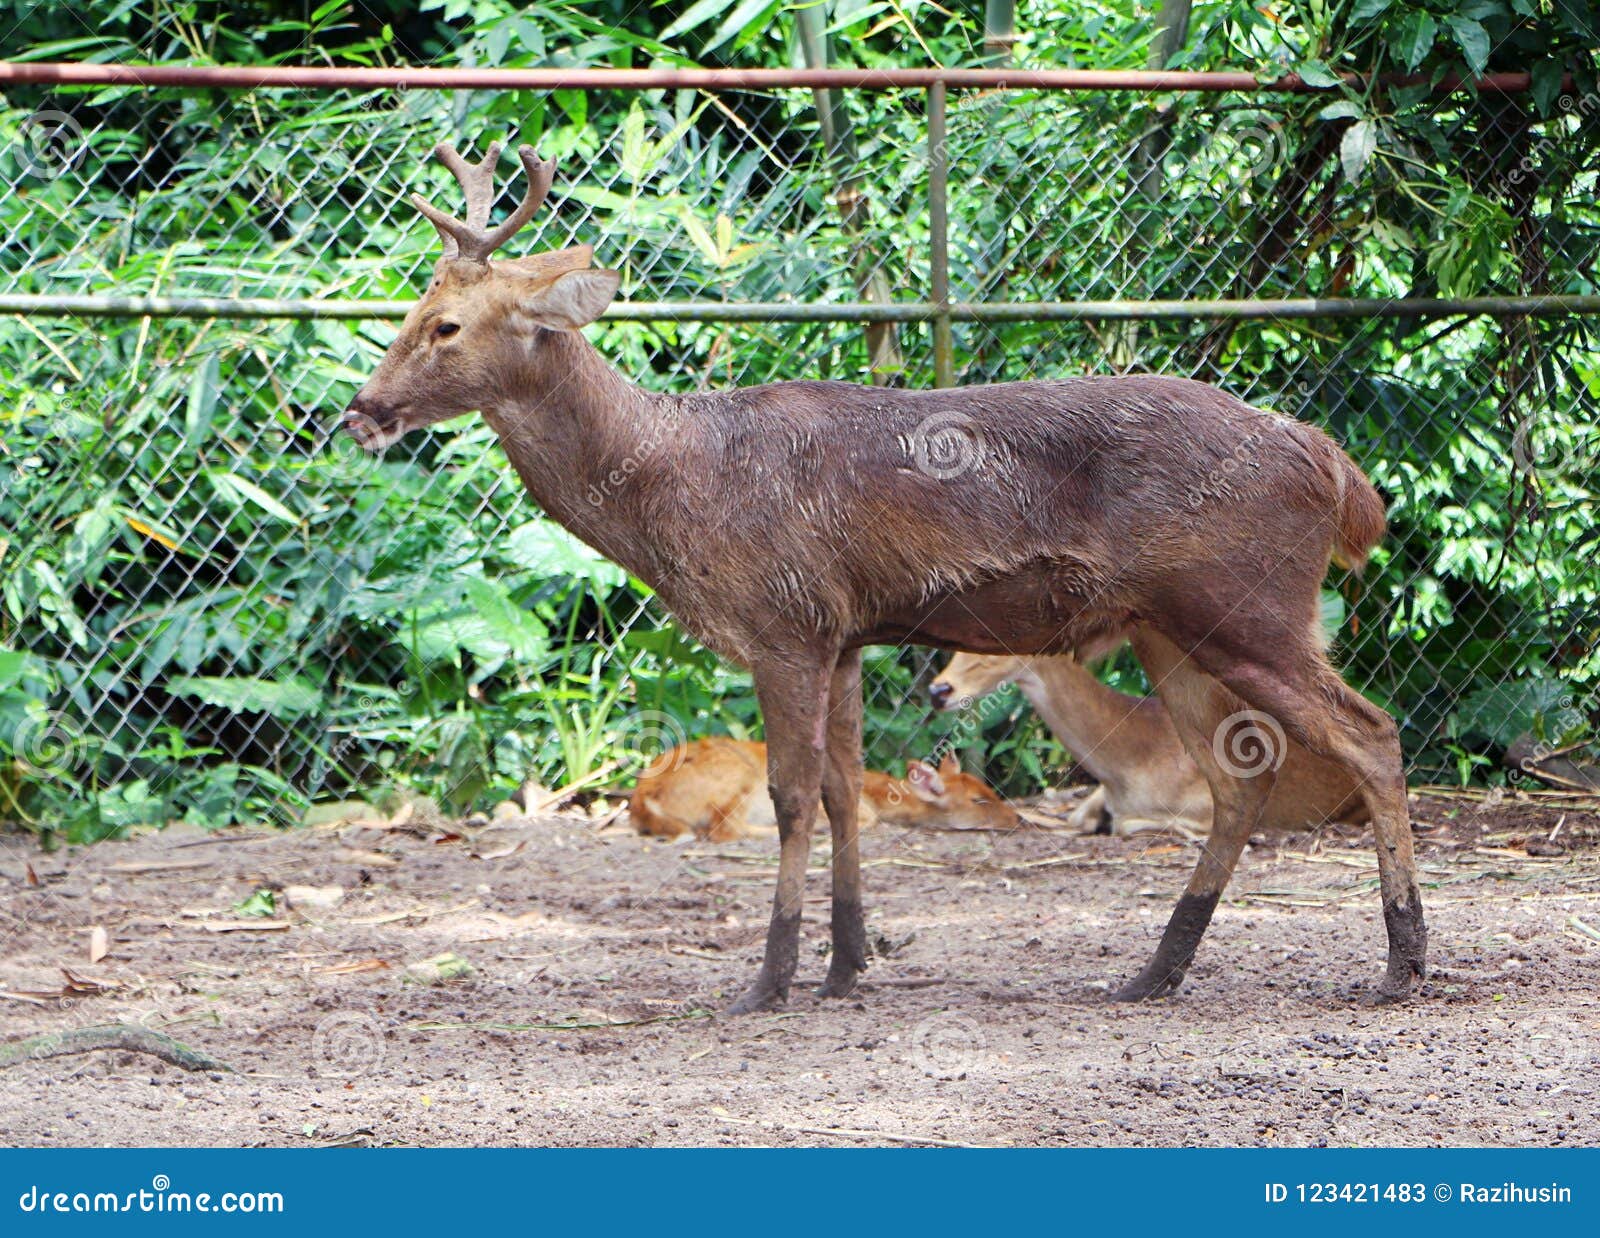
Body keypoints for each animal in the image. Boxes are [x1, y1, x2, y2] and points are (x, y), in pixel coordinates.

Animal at [629, 739, 1018, 841]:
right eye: (979, 801)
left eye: (990, 788)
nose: (1020, 820)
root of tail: (642, 797)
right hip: (738, 774)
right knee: (722, 829)